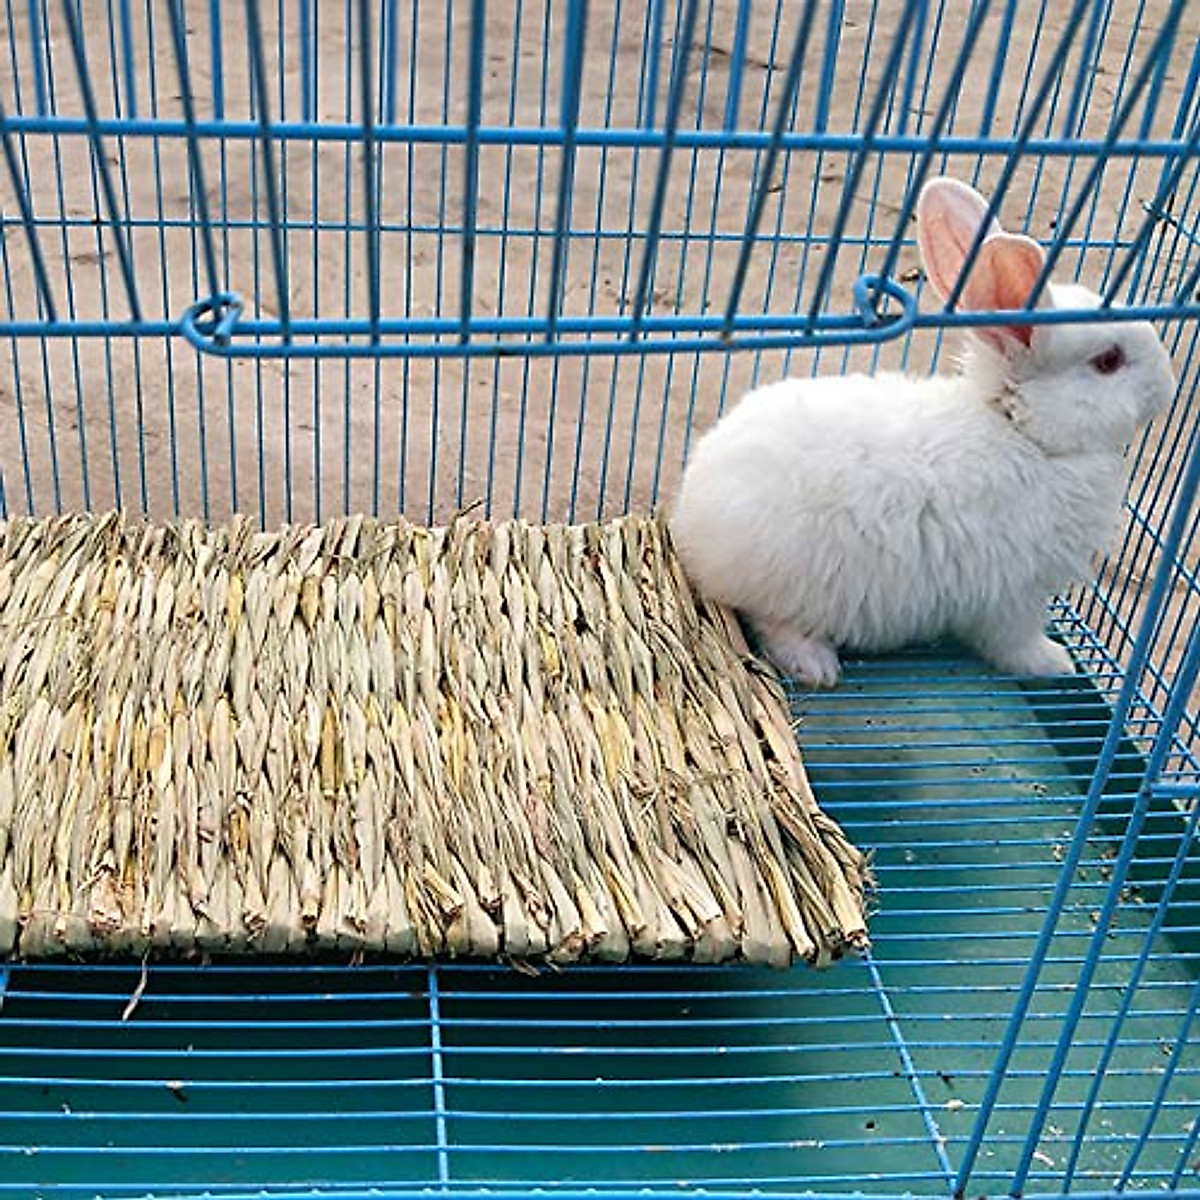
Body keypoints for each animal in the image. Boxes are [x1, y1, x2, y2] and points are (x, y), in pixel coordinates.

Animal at [669, 177, 1177, 687]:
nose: (1168, 386)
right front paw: (1054, 662)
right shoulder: (1014, 597)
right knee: (771, 623)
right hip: (795, 583)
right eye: (1108, 361)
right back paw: (816, 665)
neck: (1023, 432)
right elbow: (1014, 645)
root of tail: (689, 517)